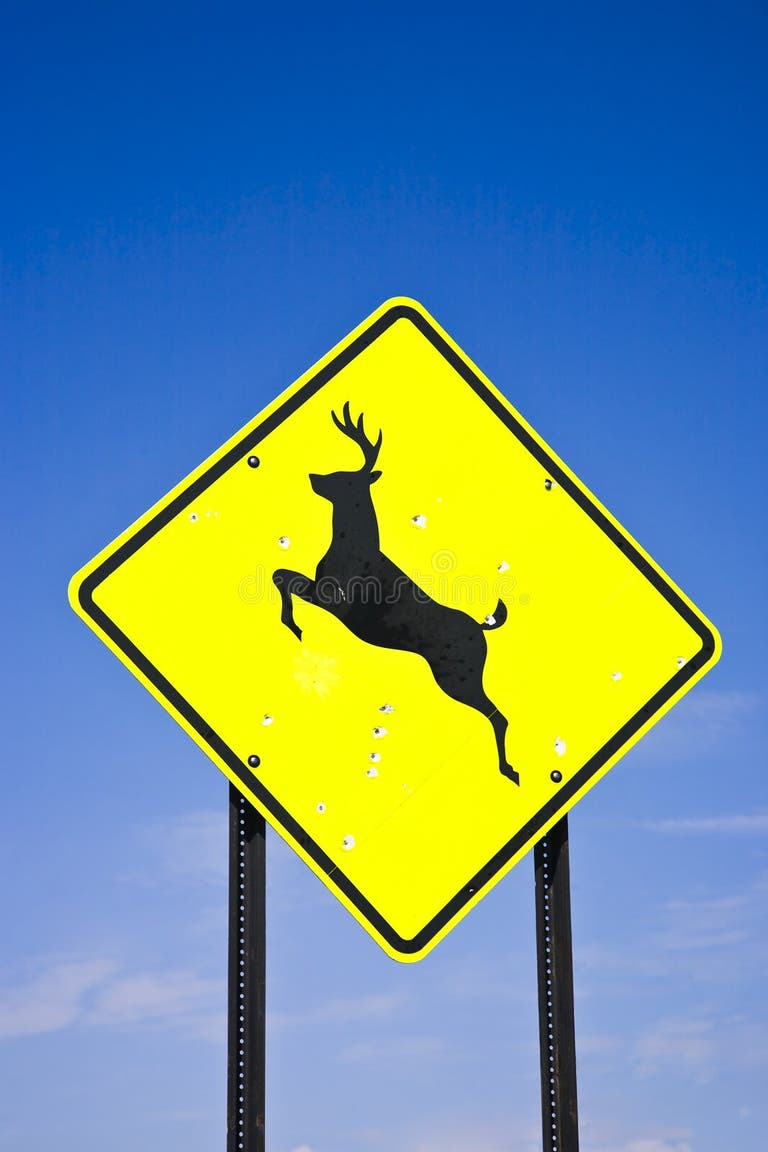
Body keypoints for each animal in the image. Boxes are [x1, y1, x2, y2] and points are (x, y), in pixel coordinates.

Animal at [272, 402, 519, 784]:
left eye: (346, 478)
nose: (314, 477)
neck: (351, 546)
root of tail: (482, 630)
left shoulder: (334, 599)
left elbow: (283, 578)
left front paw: (294, 626)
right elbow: (280, 575)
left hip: (458, 676)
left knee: (498, 715)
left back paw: (509, 771)